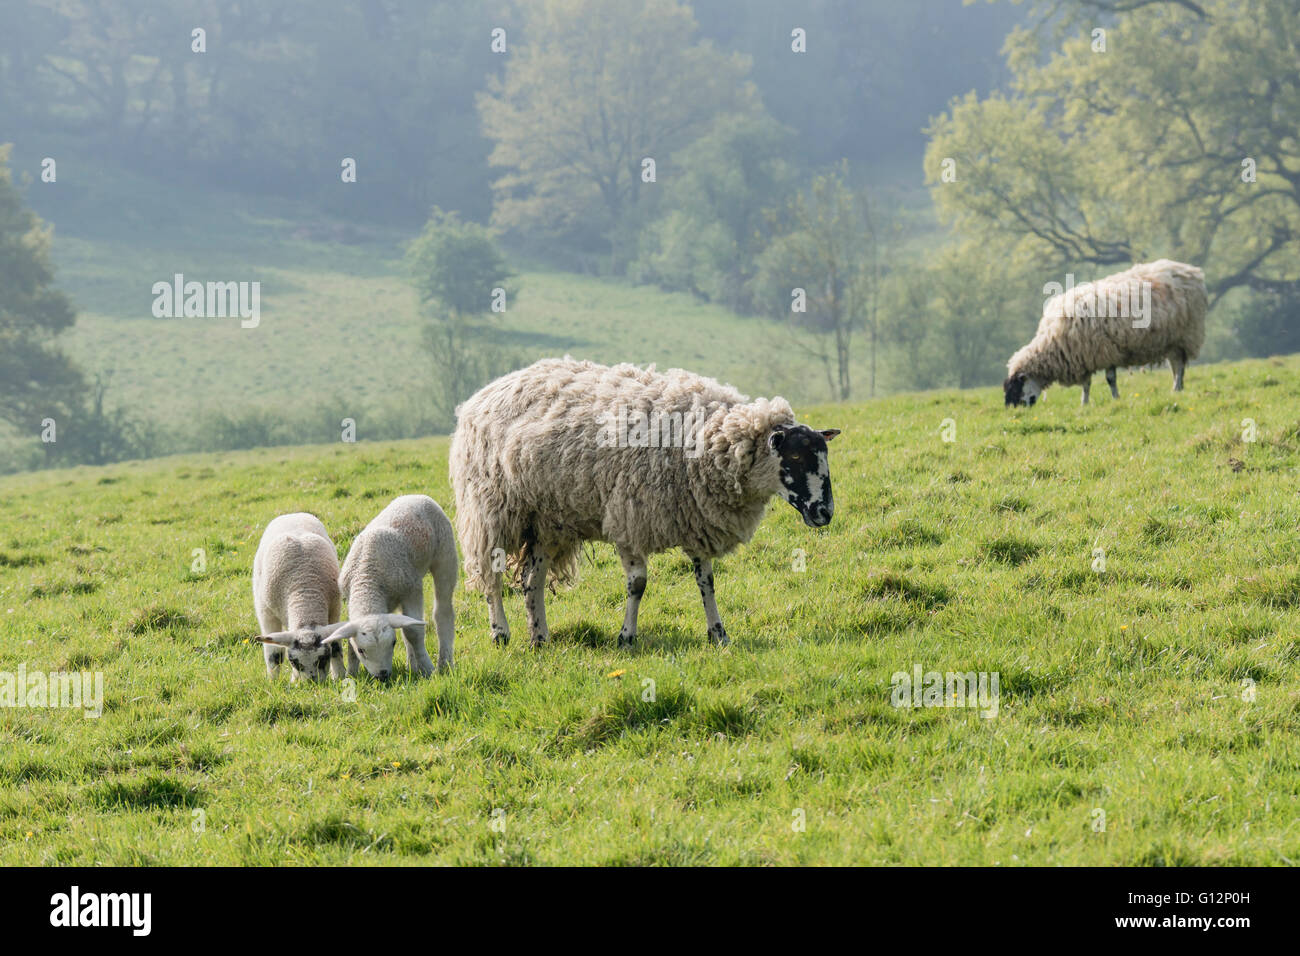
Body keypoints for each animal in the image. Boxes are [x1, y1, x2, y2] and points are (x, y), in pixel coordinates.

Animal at [251, 512, 350, 681]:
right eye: (293, 661)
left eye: (323, 658)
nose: (313, 683)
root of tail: (292, 514)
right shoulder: (266, 614)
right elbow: (274, 654)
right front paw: (274, 681)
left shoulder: (335, 608)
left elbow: (336, 645)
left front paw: (339, 676)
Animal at [332, 494, 458, 679]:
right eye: (361, 650)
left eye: (393, 643)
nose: (382, 675)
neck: (367, 579)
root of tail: (415, 496)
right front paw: (351, 674)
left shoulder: (412, 590)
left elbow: (414, 632)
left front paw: (428, 668)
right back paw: (413, 666)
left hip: (445, 553)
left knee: (443, 611)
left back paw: (444, 663)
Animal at [449, 357, 840, 649]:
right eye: (795, 458)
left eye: (823, 456)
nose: (824, 513)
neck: (704, 442)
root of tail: (483, 393)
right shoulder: (628, 519)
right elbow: (637, 585)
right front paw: (626, 637)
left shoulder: (693, 518)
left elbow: (706, 581)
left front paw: (719, 634)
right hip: (491, 510)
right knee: (491, 576)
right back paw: (500, 633)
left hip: (546, 521)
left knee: (532, 581)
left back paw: (540, 638)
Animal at [1003, 259, 1207, 407]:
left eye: (1017, 388)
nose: (1015, 411)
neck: (1053, 342)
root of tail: (1192, 271)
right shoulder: (1084, 357)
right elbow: (1086, 384)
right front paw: (1084, 403)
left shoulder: (1104, 351)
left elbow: (1110, 379)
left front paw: (1116, 399)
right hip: (1171, 340)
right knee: (1176, 364)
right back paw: (1178, 388)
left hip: (1185, 334)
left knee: (1179, 365)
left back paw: (1176, 388)